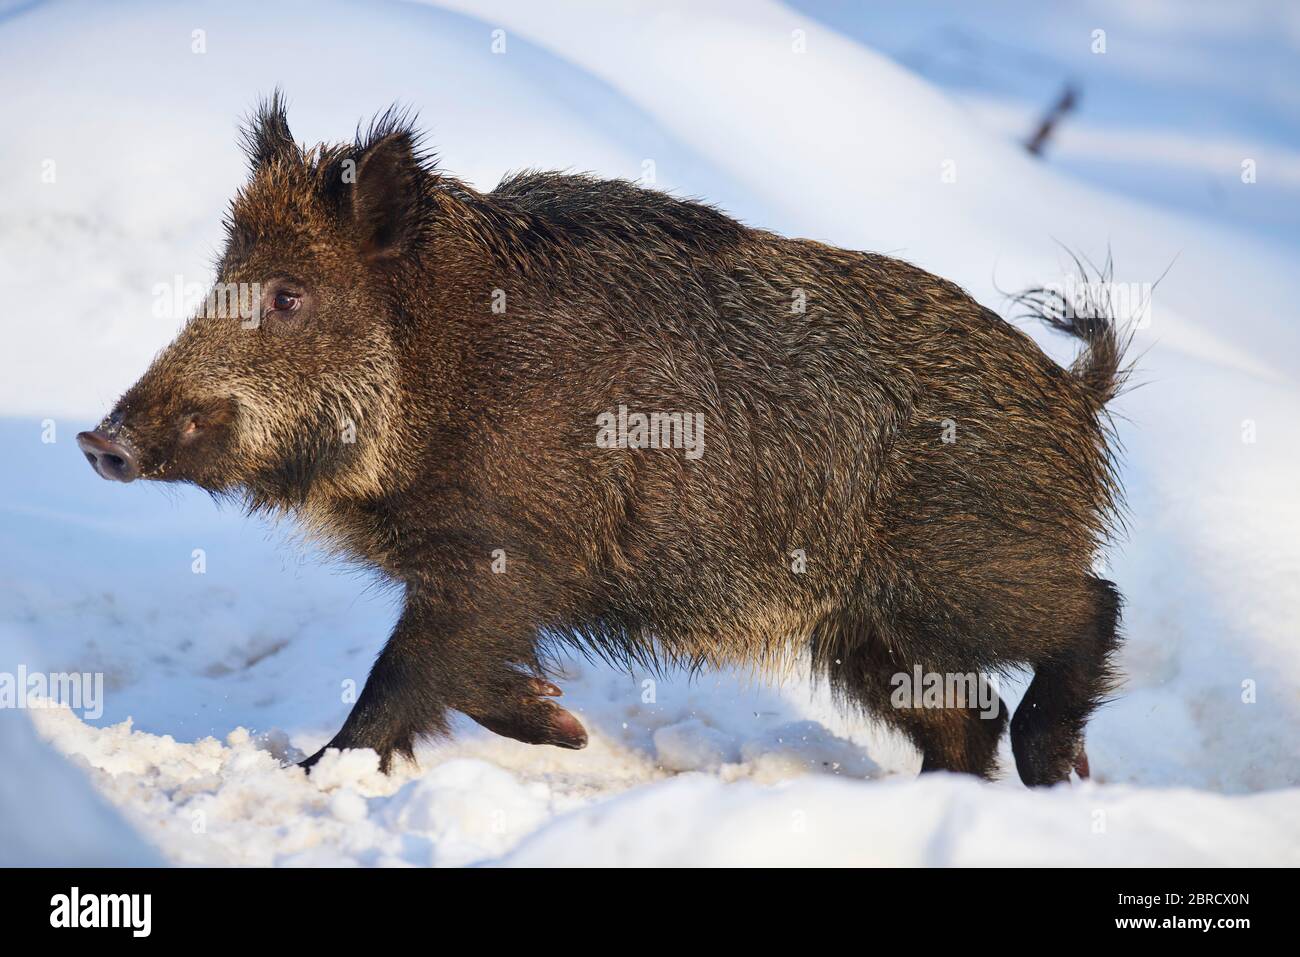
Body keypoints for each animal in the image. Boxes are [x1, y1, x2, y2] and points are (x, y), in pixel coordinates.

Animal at [78, 95, 1127, 785]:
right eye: (222, 274)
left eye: (289, 295)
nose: (99, 441)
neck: (445, 370)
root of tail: (1075, 396)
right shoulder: (502, 575)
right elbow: (461, 673)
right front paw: (565, 727)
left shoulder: (502, 554)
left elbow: (402, 673)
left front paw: (317, 772)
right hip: (867, 632)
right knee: (964, 718)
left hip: (962, 575)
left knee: (1087, 610)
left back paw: (1054, 767)